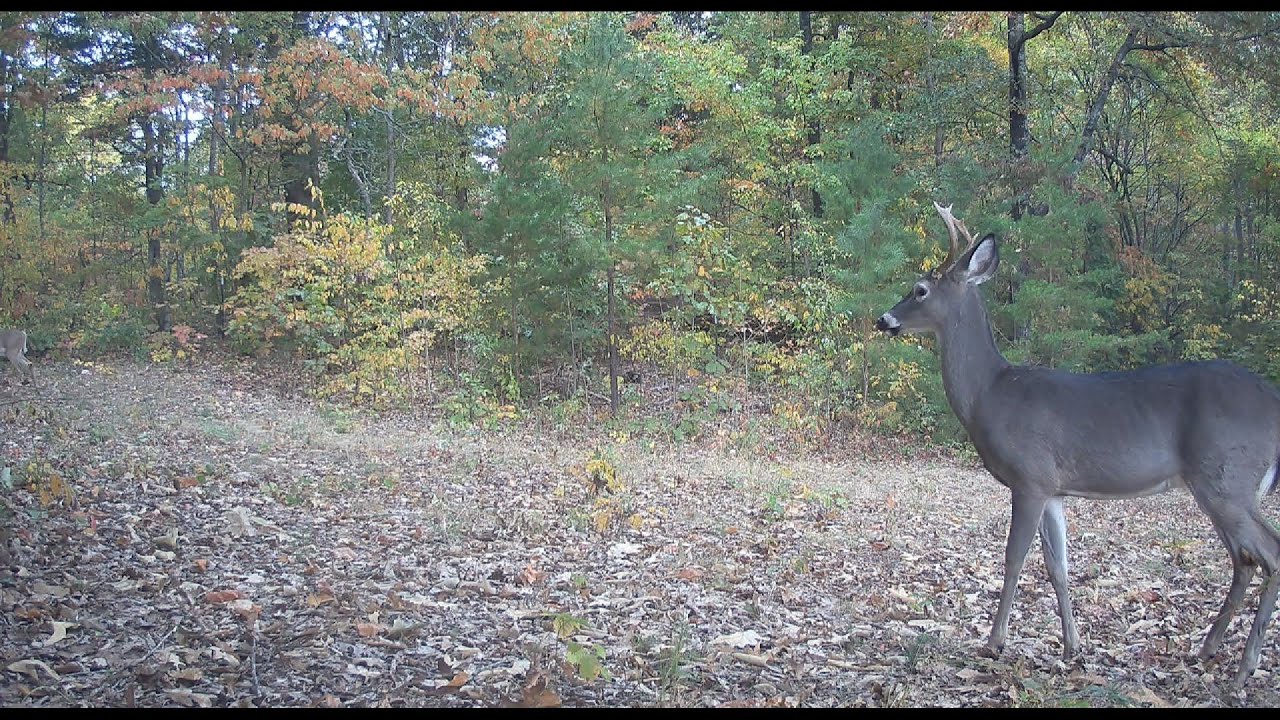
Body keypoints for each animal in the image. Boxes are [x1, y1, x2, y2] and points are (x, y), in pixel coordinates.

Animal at [874, 202, 1280, 687]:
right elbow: (1058, 567)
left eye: (919, 289)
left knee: (1269, 555)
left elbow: (1014, 558)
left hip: (1227, 479)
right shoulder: (1055, 489)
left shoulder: (1029, 478)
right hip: (1220, 487)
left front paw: (994, 642)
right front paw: (1072, 647)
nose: (883, 319)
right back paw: (1208, 650)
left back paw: (1245, 668)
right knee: (1245, 560)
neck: (990, 393)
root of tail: (1274, 402)